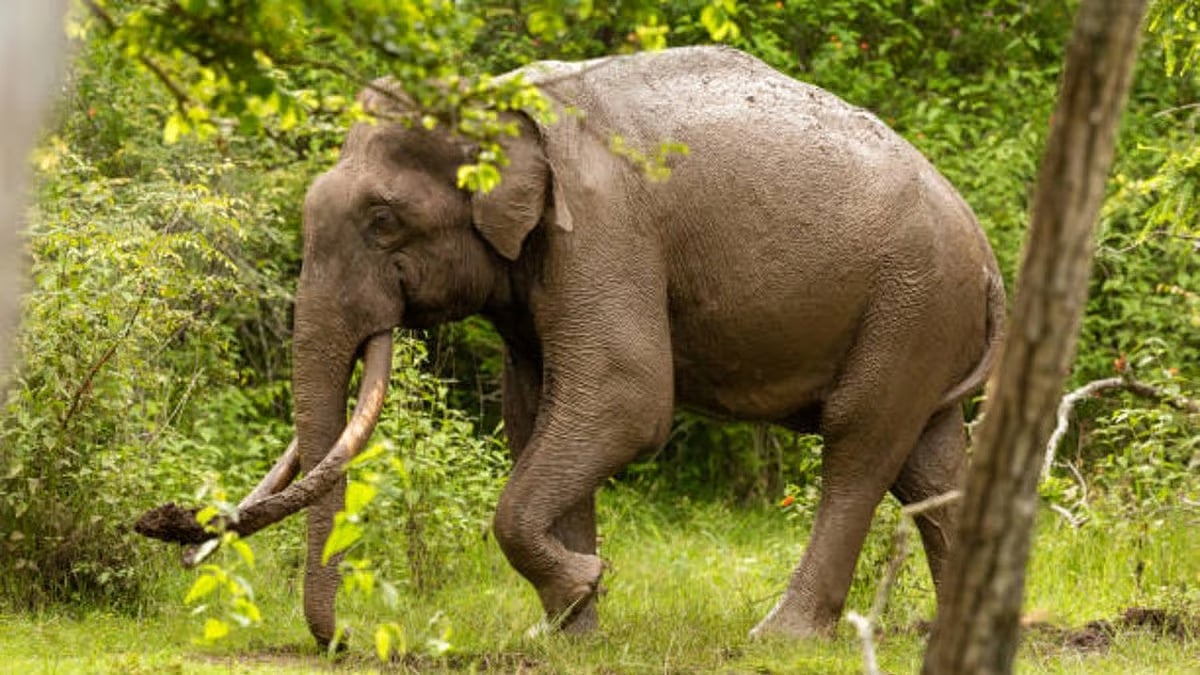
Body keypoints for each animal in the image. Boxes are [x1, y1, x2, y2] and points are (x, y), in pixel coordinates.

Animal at [136, 45, 1005, 648]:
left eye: (383, 220)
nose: (343, 640)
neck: (495, 97)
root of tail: (991, 260)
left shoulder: (604, 224)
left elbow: (621, 397)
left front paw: (582, 589)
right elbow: (541, 409)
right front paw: (573, 628)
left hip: (911, 301)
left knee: (859, 442)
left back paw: (781, 636)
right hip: (925, 317)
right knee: (929, 460)